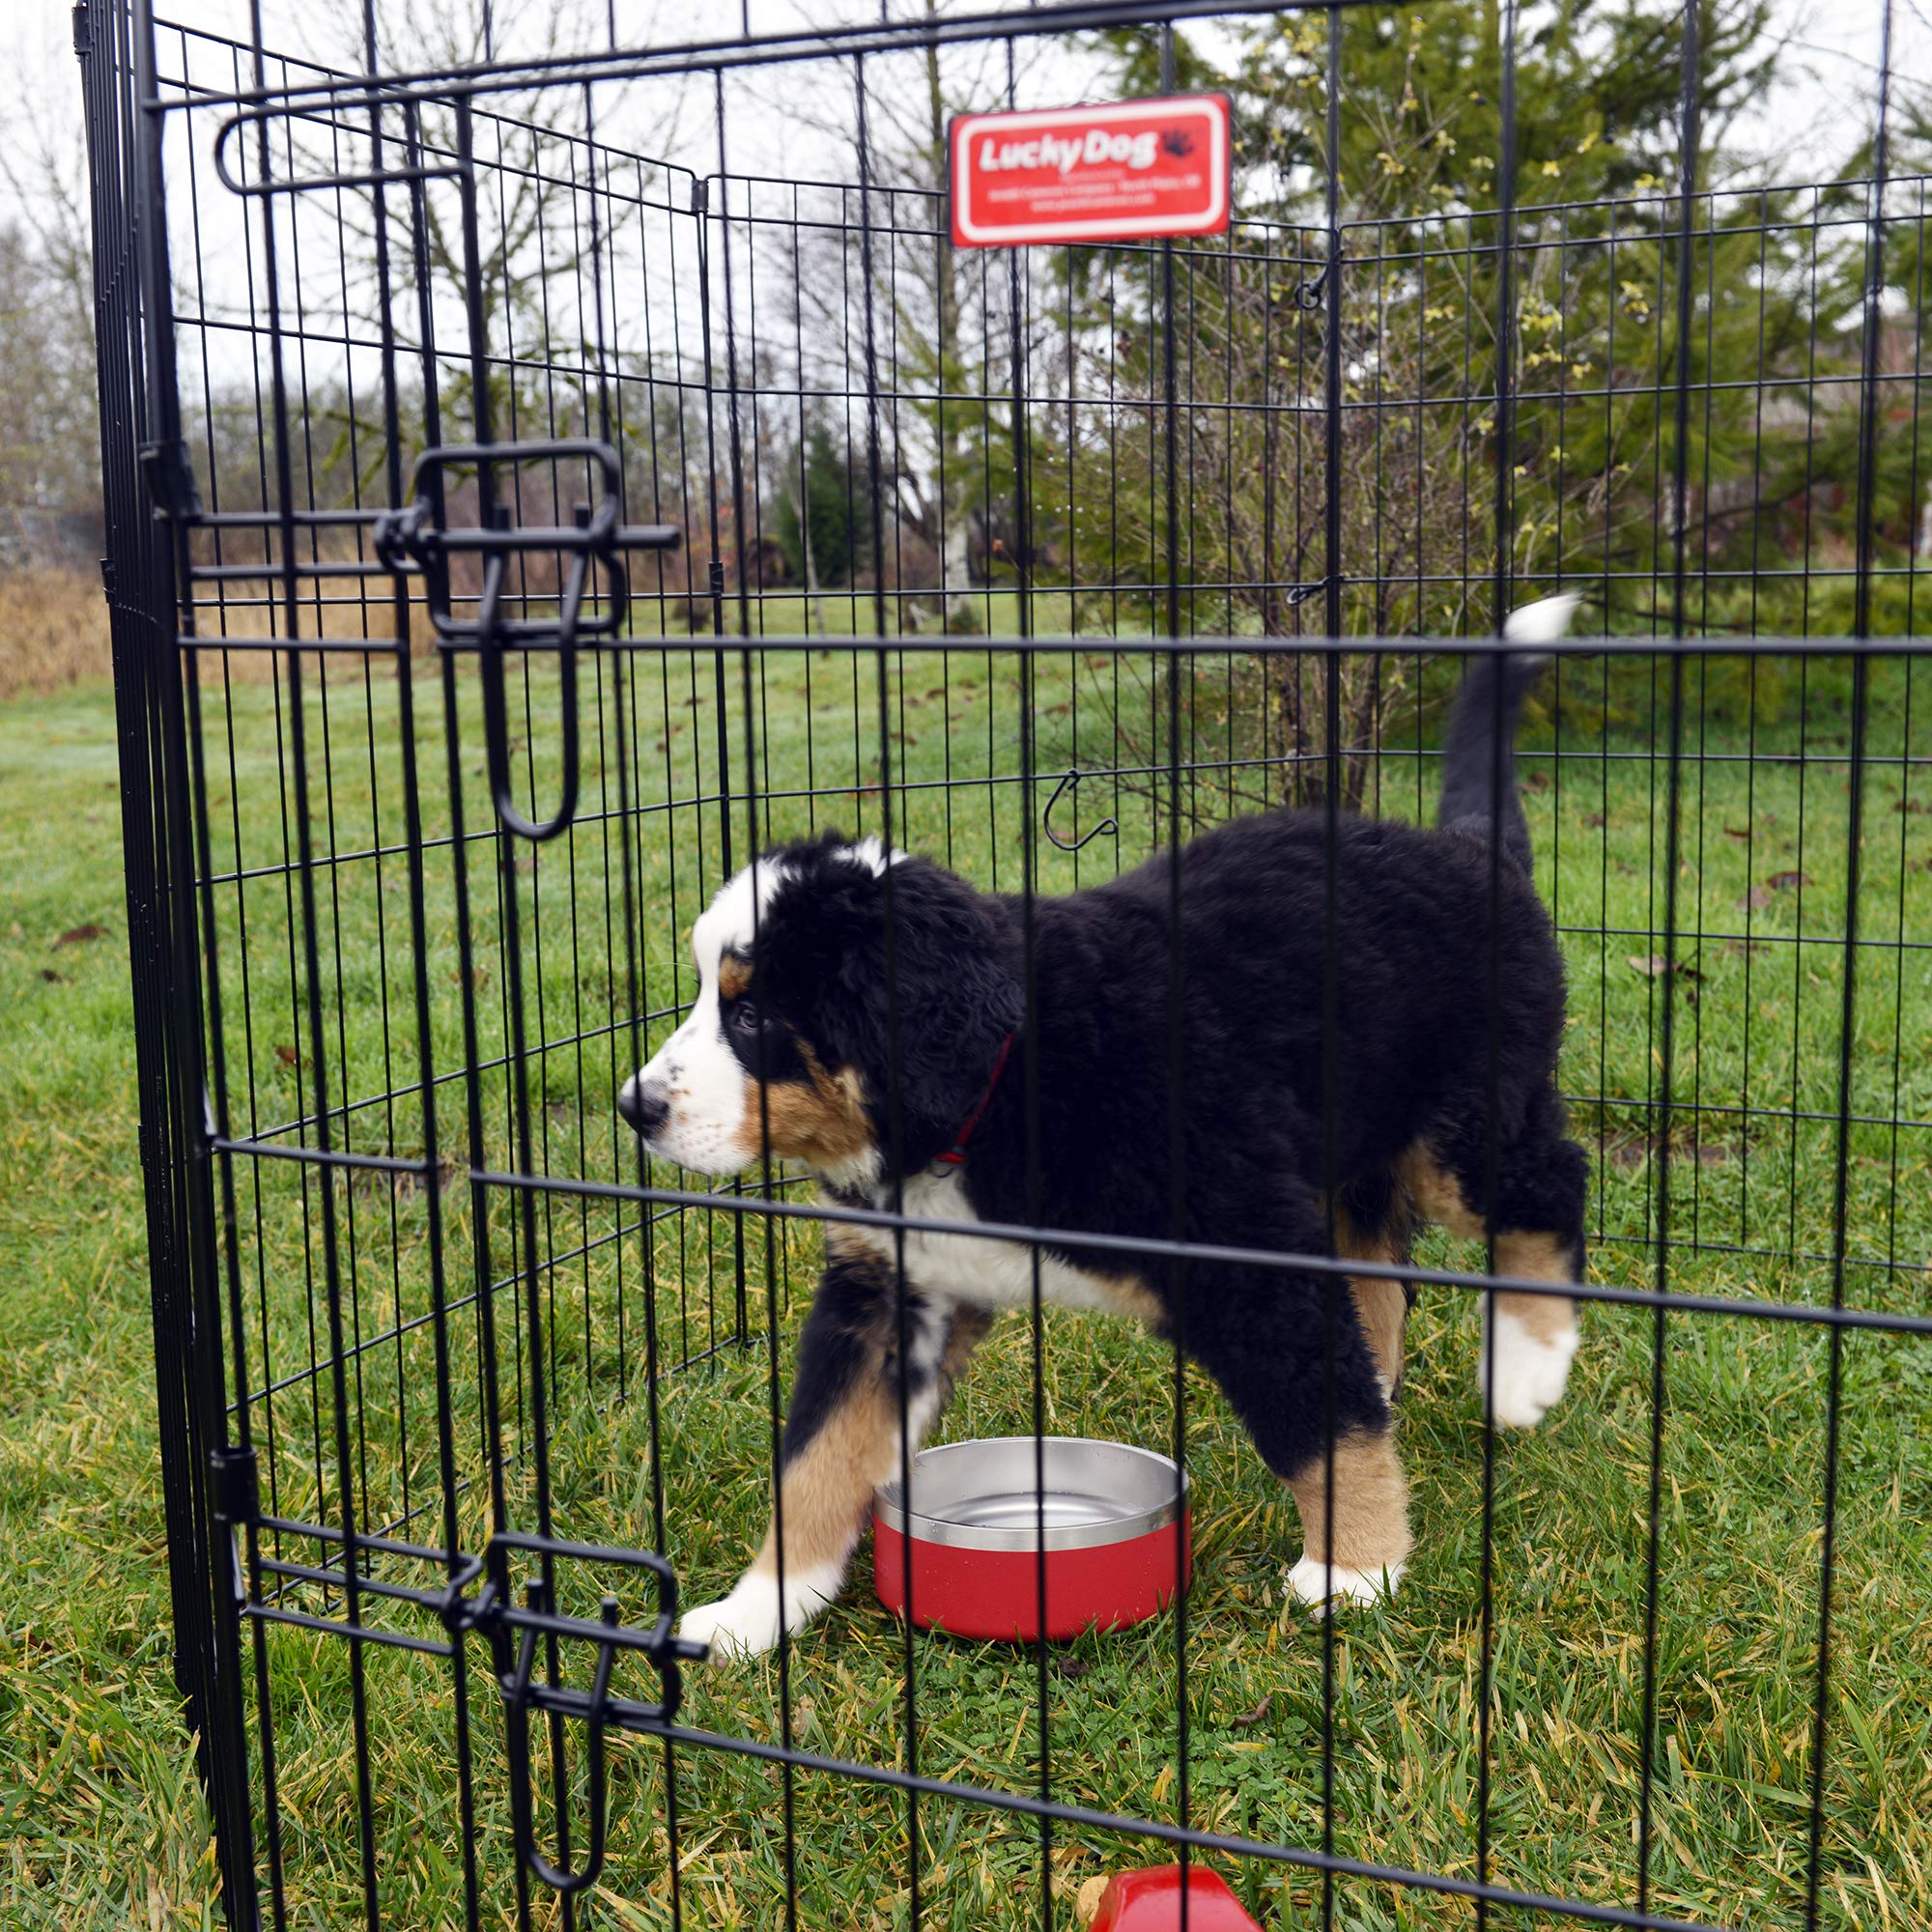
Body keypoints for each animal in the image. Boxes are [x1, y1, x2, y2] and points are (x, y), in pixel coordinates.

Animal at [626, 595, 1592, 1654]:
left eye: (753, 1014)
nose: (637, 1106)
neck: (995, 1091)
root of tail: (1468, 849)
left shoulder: (1243, 1252)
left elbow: (1314, 1415)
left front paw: (1354, 1567)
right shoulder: (887, 1296)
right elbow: (814, 1457)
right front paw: (755, 1609)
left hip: (1462, 1119)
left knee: (1547, 1182)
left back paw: (1527, 1366)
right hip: (1355, 1151)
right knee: (1378, 1283)